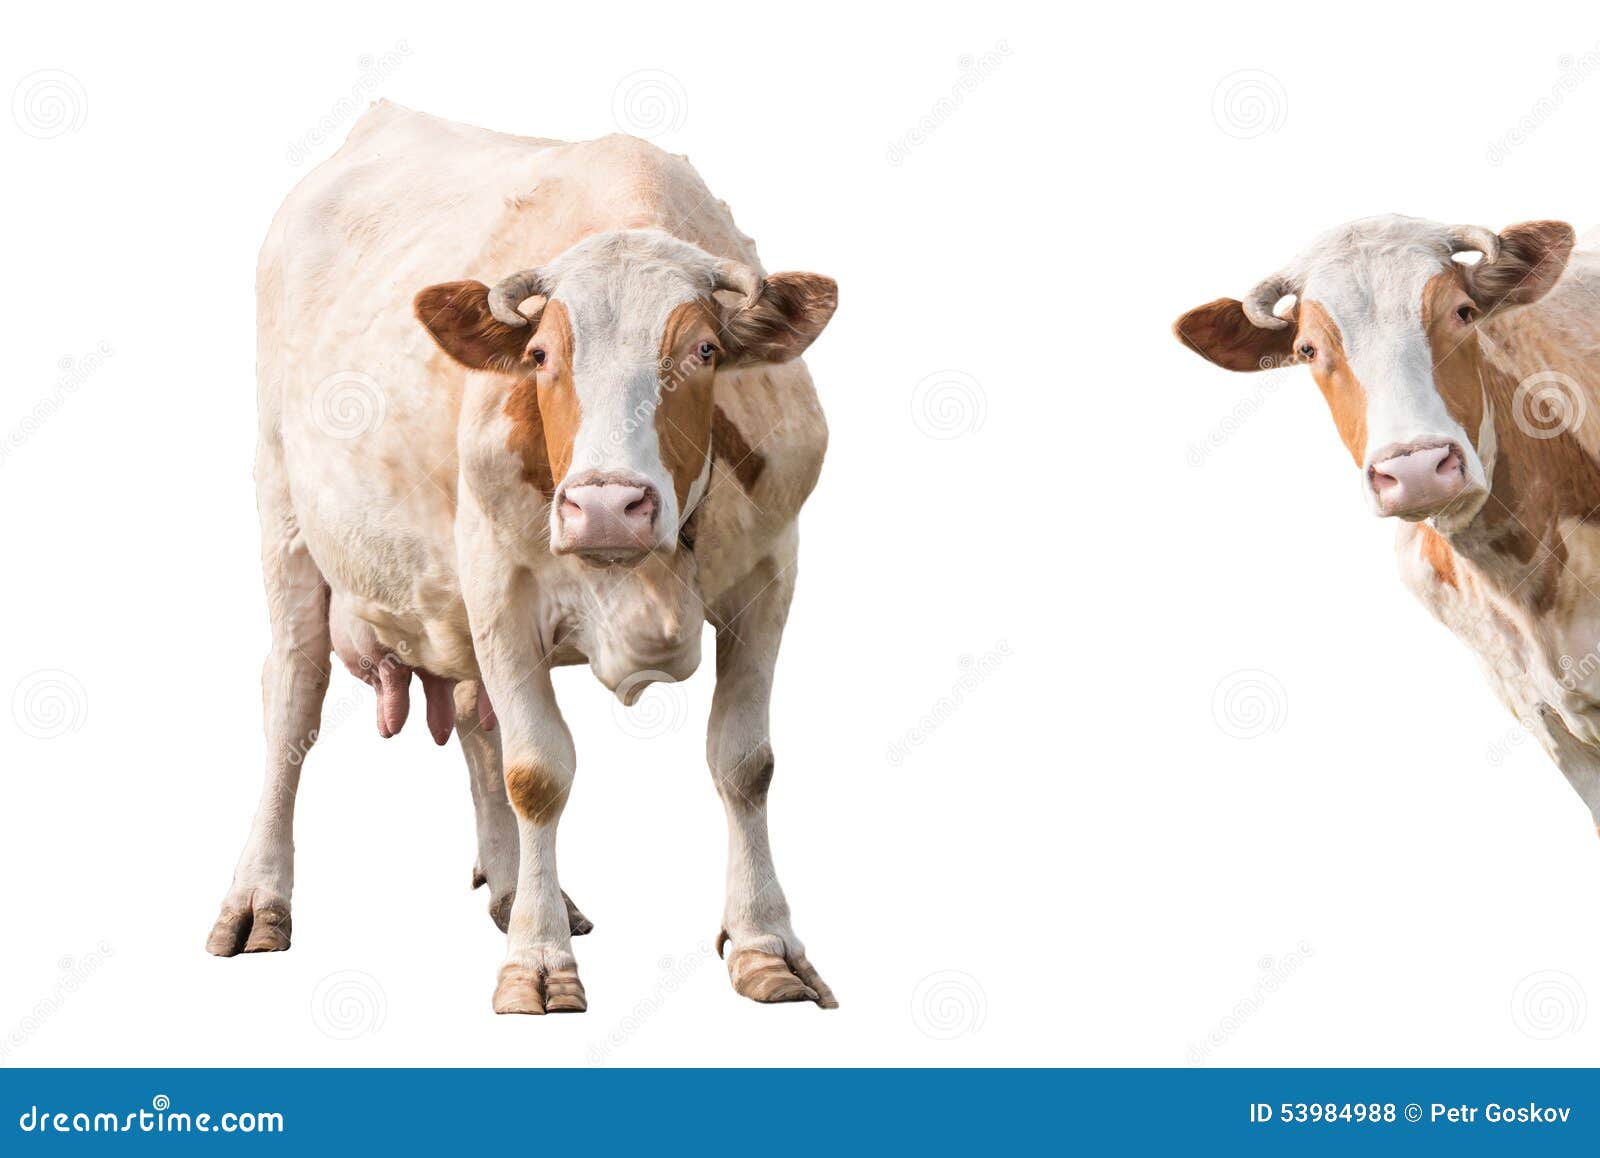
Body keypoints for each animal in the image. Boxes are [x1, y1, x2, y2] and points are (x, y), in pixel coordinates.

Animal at [206, 102, 839, 1015]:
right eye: (542, 357)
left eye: (705, 353)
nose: (606, 504)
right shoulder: (499, 583)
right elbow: (538, 770)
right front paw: (536, 964)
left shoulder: (770, 577)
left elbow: (745, 764)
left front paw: (764, 945)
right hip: (284, 511)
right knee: (291, 703)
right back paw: (259, 898)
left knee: (478, 722)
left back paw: (512, 887)